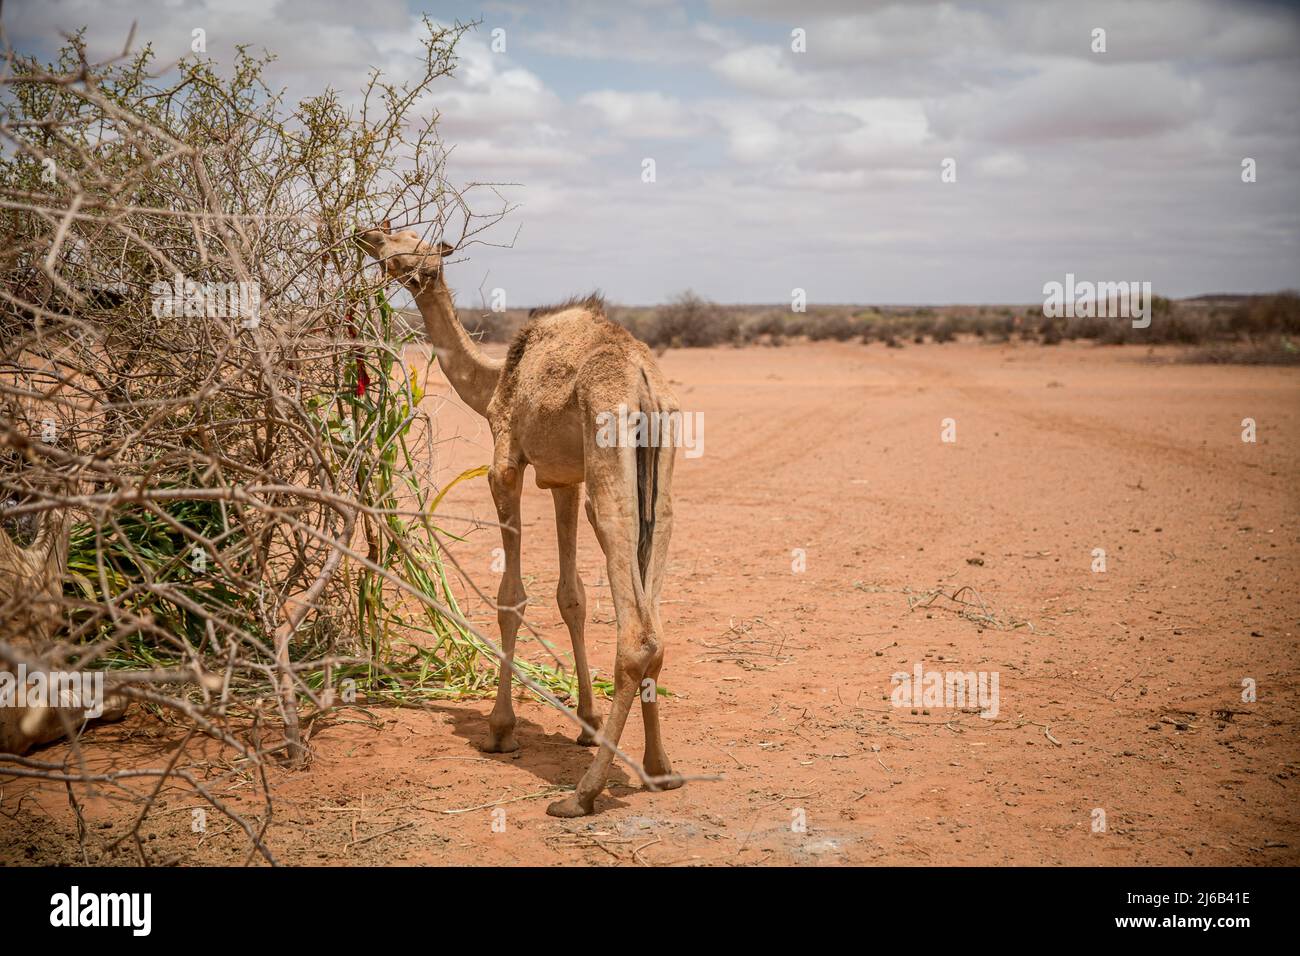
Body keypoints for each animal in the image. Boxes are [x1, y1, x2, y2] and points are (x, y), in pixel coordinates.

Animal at [354, 225, 683, 817]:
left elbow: (511, 597)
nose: (364, 233)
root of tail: (645, 382)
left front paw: (499, 729)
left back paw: (583, 794)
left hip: (611, 465)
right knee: (654, 612)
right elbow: (571, 597)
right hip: (660, 474)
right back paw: (659, 768)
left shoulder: (505, 463)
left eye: (404, 237)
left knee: (638, 633)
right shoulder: (564, 478)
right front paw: (586, 723)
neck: (493, 380)